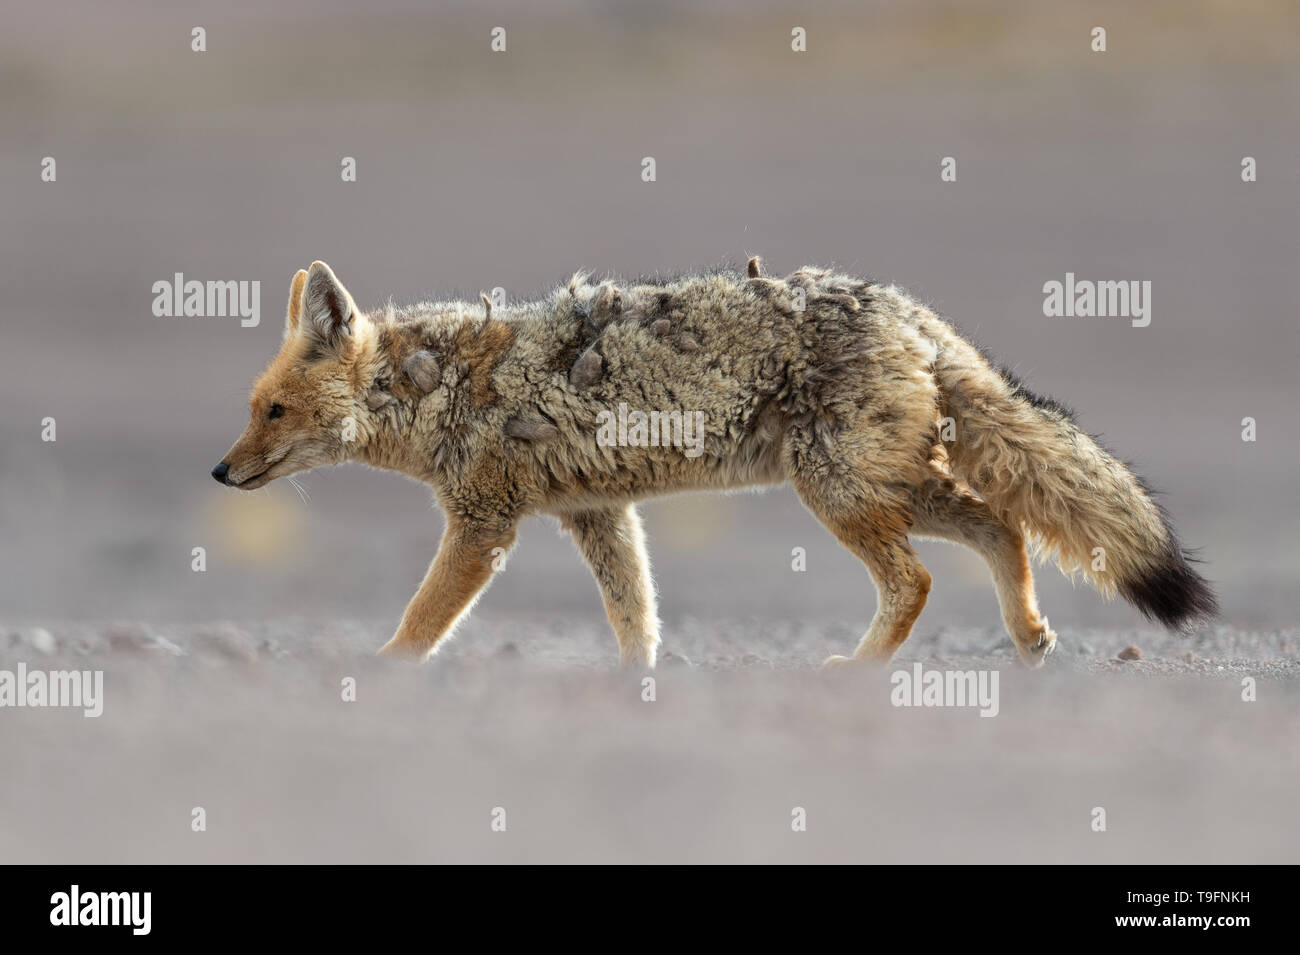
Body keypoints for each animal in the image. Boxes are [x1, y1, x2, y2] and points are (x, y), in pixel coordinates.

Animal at [214, 258, 1218, 667]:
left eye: (271, 411)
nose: (220, 474)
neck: (442, 385)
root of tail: (910, 311)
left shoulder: (484, 524)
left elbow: (423, 619)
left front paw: (382, 670)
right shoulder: (596, 514)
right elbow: (636, 614)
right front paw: (640, 681)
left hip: (842, 493)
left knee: (921, 577)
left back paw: (857, 669)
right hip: (881, 486)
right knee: (1002, 523)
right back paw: (1029, 635)